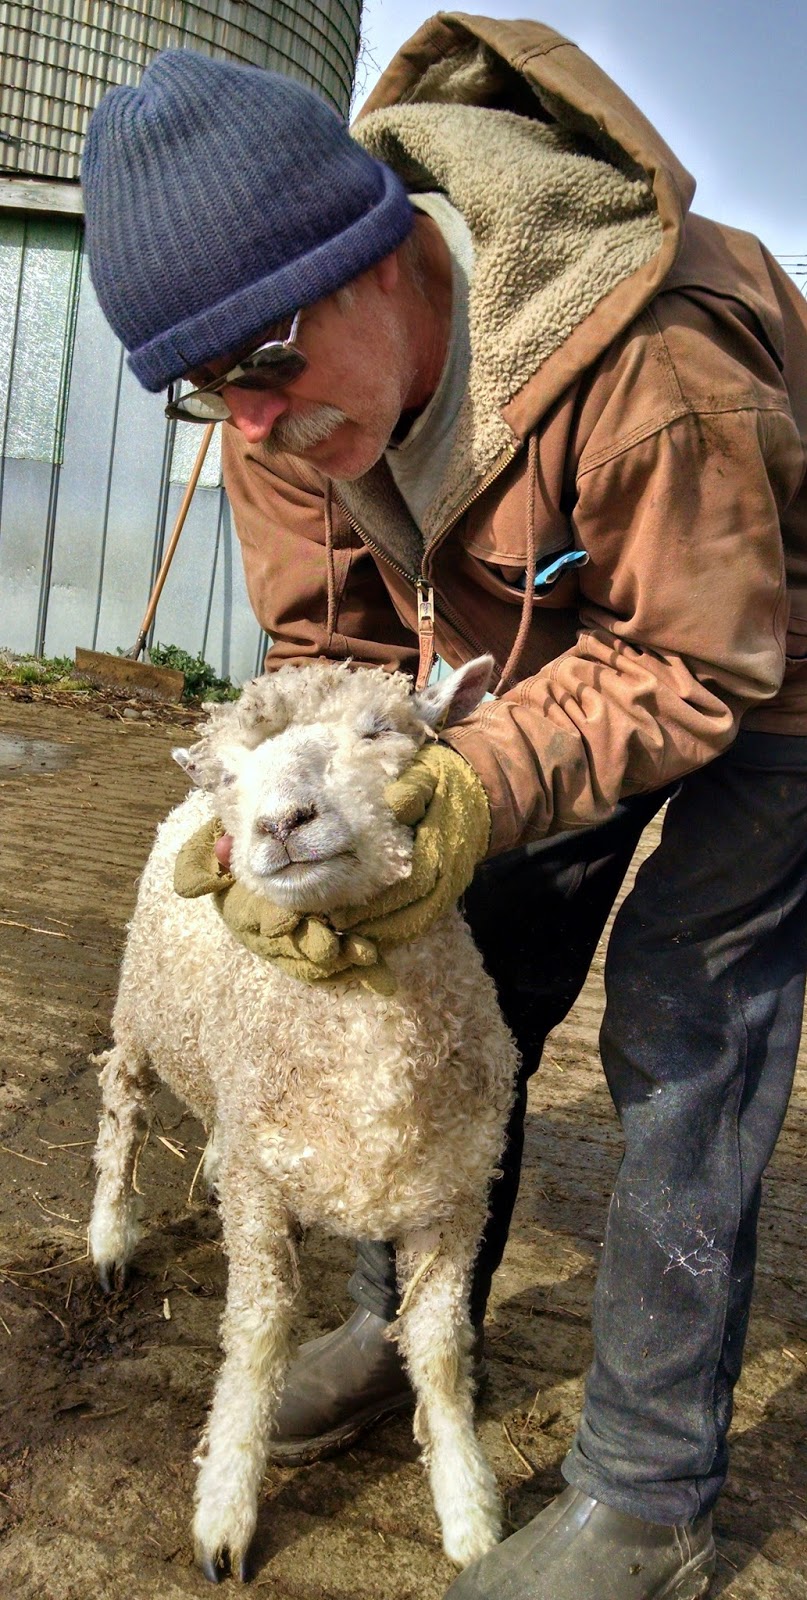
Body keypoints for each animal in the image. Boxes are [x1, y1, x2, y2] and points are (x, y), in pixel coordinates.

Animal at [89, 655, 519, 1583]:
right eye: (231, 775)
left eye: (381, 729)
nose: (278, 823)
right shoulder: (261, 1201)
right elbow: (256, 1339)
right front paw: (224, 1511)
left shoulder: (454, 1202)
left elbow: (437, 1353)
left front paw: (469, 1511)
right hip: (138, 1012)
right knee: (123, 1114)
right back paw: (108, 1237)